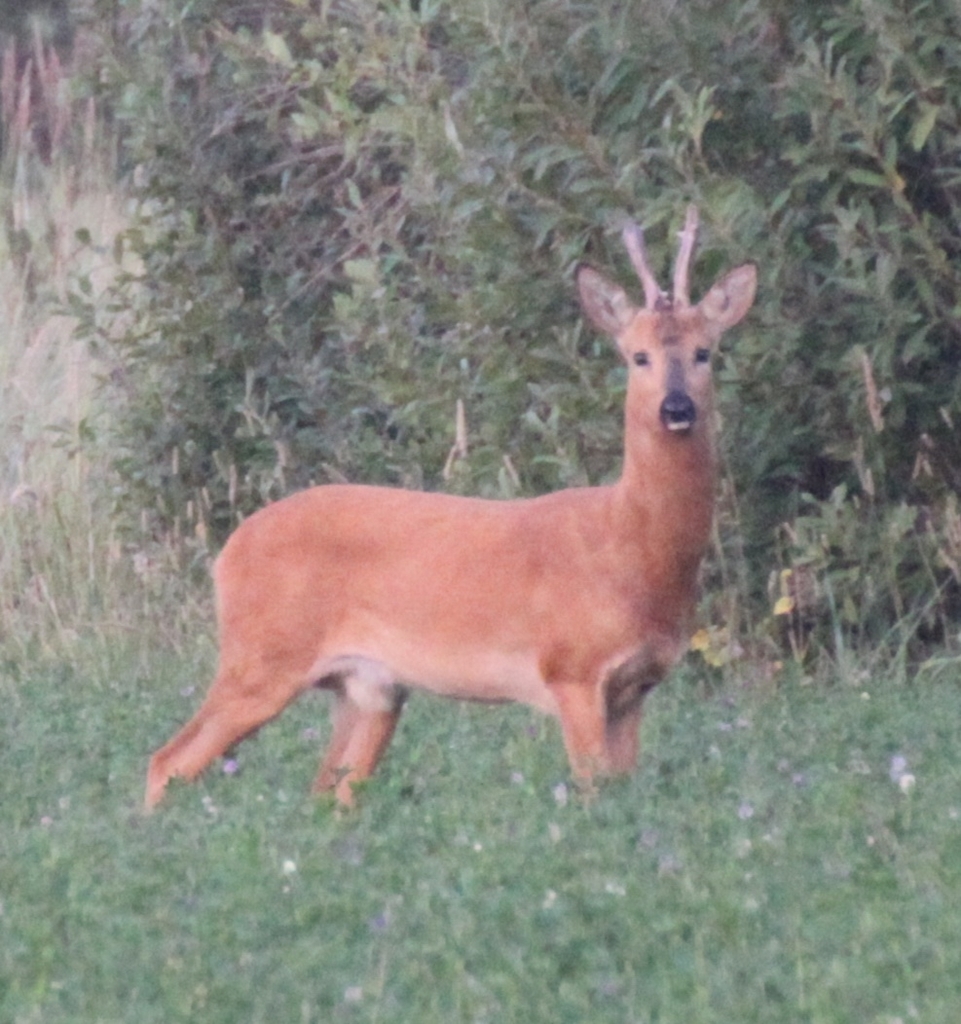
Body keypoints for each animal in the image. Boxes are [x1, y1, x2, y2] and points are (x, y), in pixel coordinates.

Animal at [145, 206, 756, 810]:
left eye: (704, 352)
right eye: (638, 356)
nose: (676, 408)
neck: (630, 545)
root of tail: (227, 551)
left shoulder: (635, 688)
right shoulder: (572, 670)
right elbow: (592, 793)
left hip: (370, 690)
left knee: (328, 793)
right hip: (260, 658)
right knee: (167, 761)